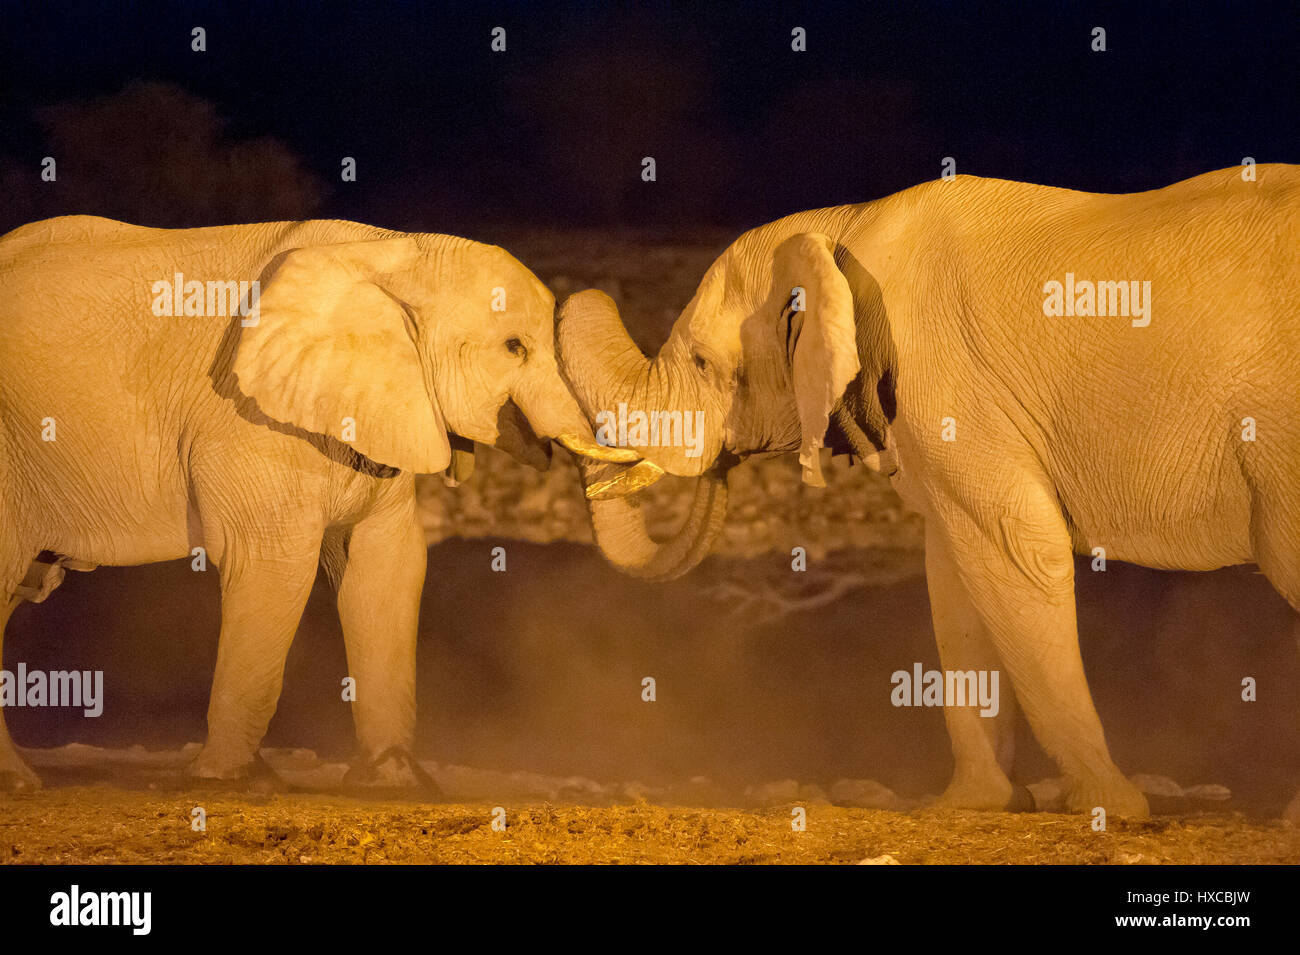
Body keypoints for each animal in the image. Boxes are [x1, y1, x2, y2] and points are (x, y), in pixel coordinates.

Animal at [0, 214, 635, 792]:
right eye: (515, 347)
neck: (391, 250)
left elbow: (387, 566)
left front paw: (394, 781)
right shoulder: (247, 418)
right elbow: (272, 565)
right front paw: (227, 782)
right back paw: (22, 785)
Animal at [556, 164, 1300, 820]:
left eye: (704, 363)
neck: (838, 227)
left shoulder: (944, 385)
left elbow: (1021, 549)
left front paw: (1110, 808)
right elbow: (952, 574)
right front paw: (975, 804)